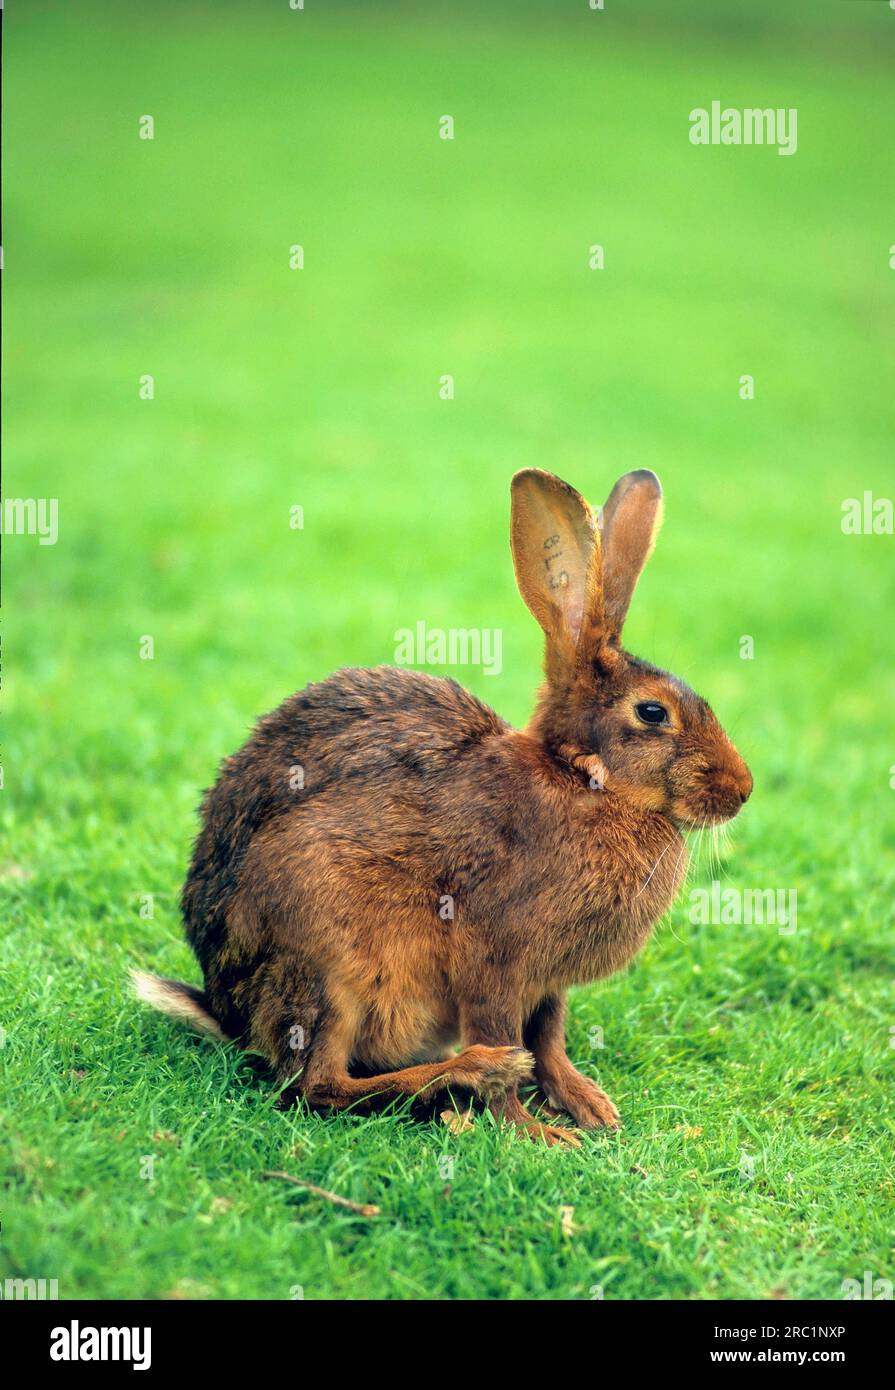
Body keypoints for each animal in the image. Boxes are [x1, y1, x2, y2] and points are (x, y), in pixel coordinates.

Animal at [133, 468, 752, 1146]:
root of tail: (231, 1010)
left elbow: (550, 1039)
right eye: (652, 712)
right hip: (329, 964)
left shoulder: (548, 984)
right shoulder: (493, 956)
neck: (583, 780)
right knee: (319, 1087)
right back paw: (467, 1071)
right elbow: (510, 1034)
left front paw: (588, 1106)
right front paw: (535, 1132)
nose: (742, 790)